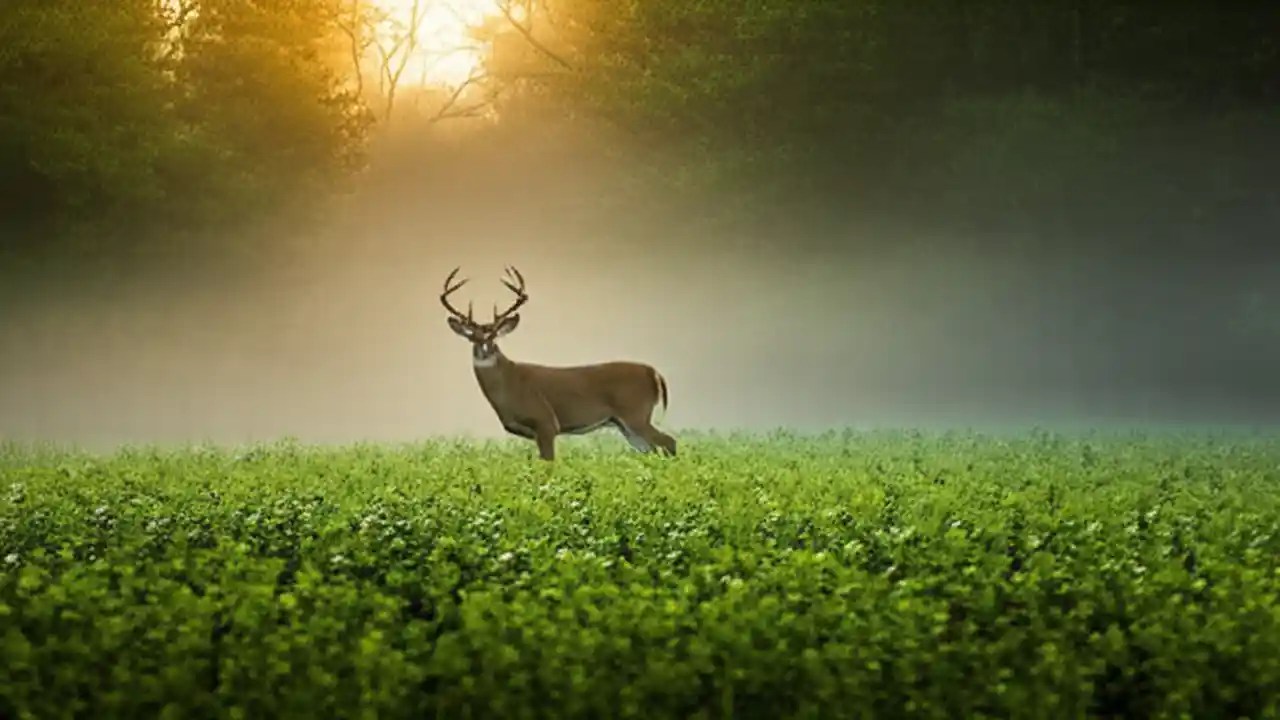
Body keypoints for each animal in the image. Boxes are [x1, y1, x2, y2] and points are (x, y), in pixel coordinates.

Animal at [439, 265, 677, 461]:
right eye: (472, 337)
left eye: (494, 337)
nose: (484, 350)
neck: (510, 385)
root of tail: (654, 372)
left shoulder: (546, 422)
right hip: (625, 424)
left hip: (636, 412)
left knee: (669, 442)